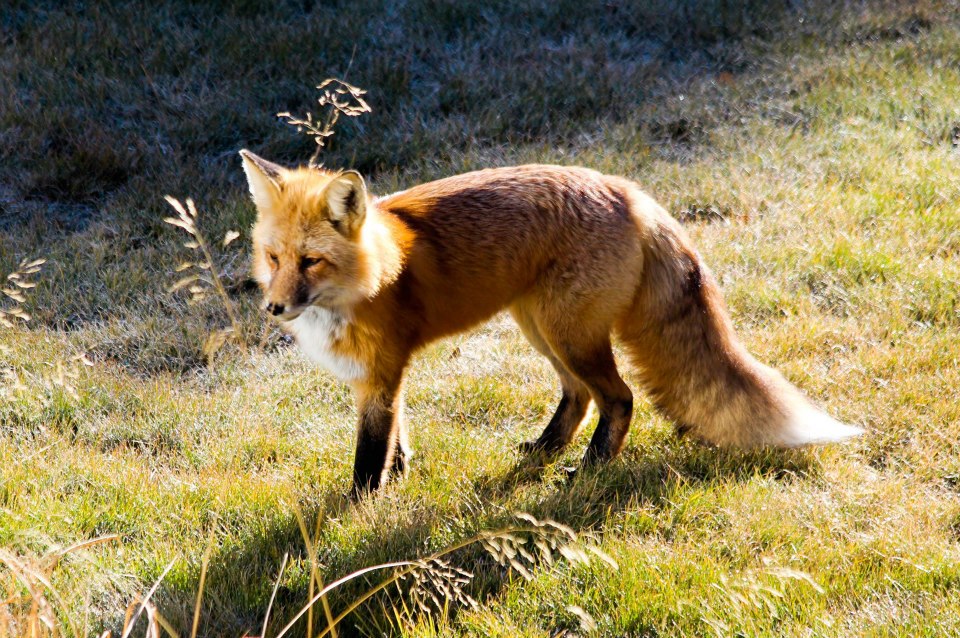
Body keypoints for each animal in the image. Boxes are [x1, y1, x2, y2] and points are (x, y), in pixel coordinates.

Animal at [239, 150, 863, 495]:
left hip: (568, 334)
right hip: (541, 330)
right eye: (272, 257)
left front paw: (359, 513)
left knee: (619, 398)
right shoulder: (385, 378)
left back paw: (589, 469)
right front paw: (400, 478)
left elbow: (370, 458)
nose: (274, 308)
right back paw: (544, 450)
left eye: (310, 261)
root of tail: (627, 190)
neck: (372, 274)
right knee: (579, 396)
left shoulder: (382, 374)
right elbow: (398, 442)